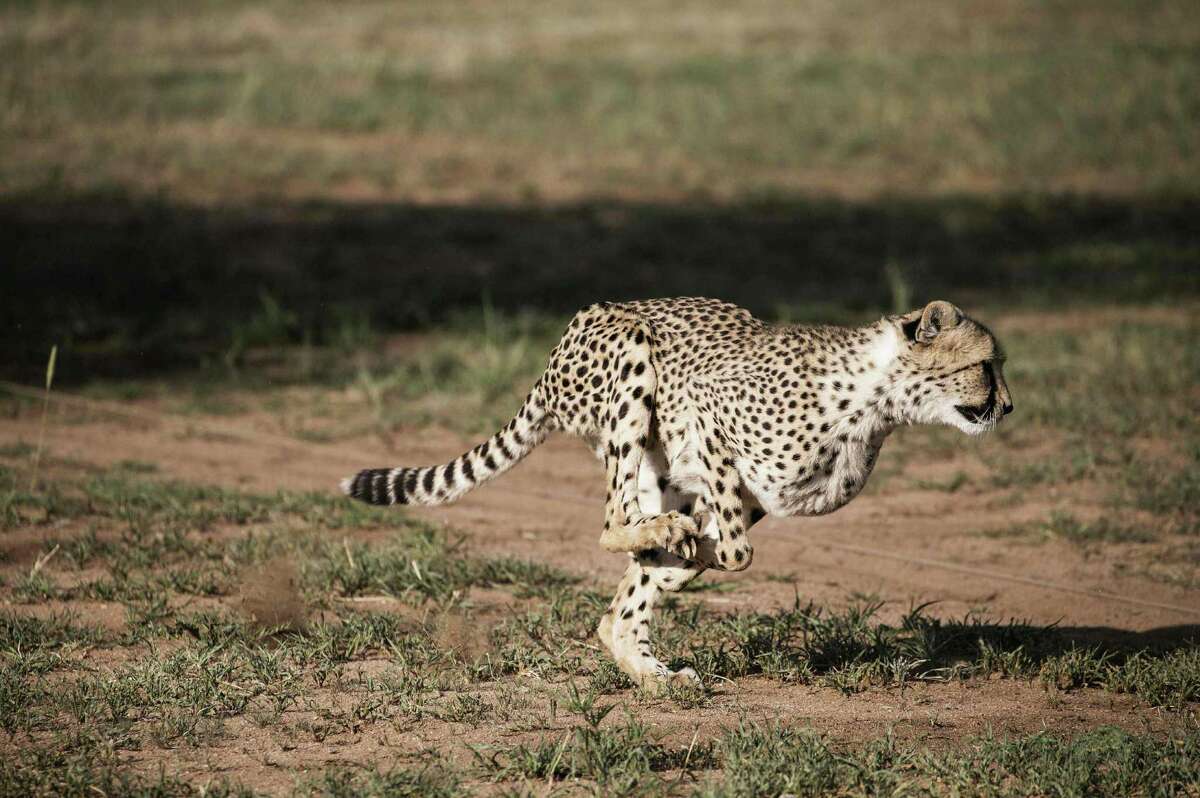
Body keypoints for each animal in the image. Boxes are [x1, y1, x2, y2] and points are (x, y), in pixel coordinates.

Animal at [342, 297, 1013, 690]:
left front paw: (682, 554)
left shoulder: (754, 497)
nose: (1008, 406)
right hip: (632, 357)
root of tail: (579, 325)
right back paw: (663, 546)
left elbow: (710, 550)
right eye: (986, 366)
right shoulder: (709, 416)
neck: (877, 397)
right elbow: (737, 552)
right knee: (612, 523)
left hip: (654, 467)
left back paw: (649, 665)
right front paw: (690, 546)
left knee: (616, 610)